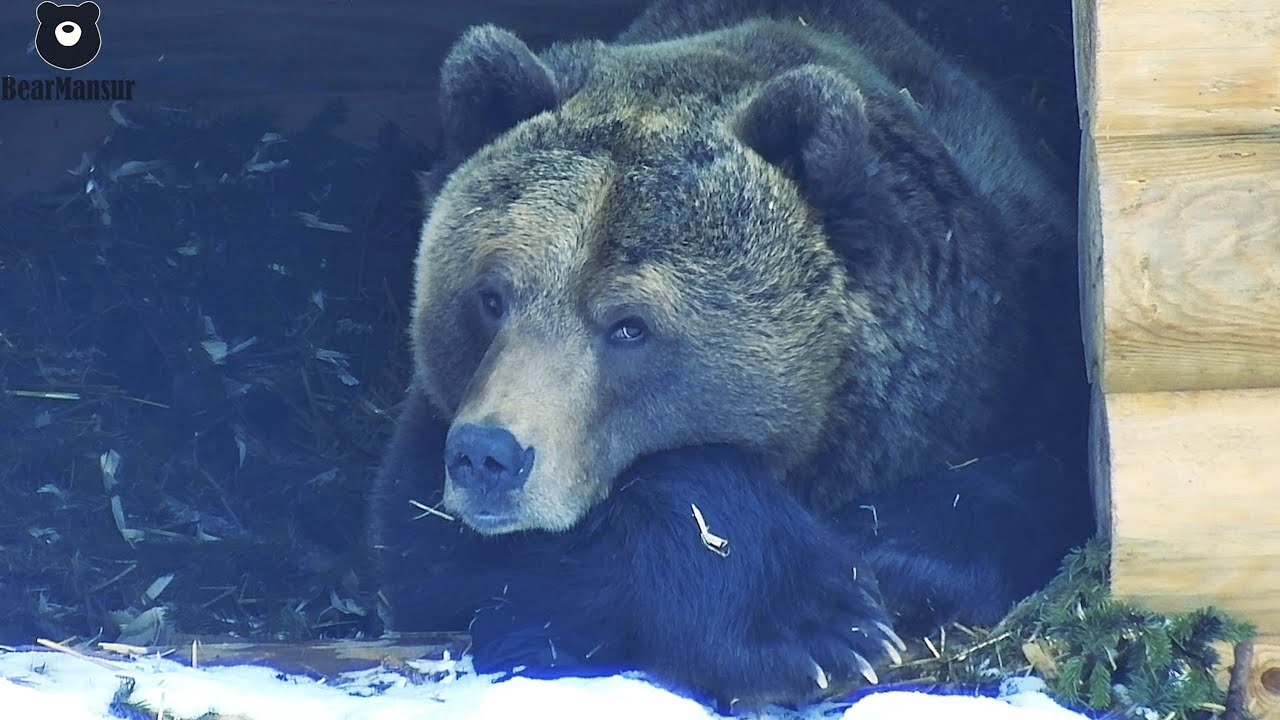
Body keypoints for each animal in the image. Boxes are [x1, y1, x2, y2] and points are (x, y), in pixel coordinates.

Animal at [369, 0, 1091, 708]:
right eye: (491, 296)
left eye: (629, 326)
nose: (488, 456)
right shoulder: (436, 440)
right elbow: (438, 556)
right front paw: (814, 624)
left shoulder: (1023, 343)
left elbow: (1010, 494)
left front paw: (876, 567)